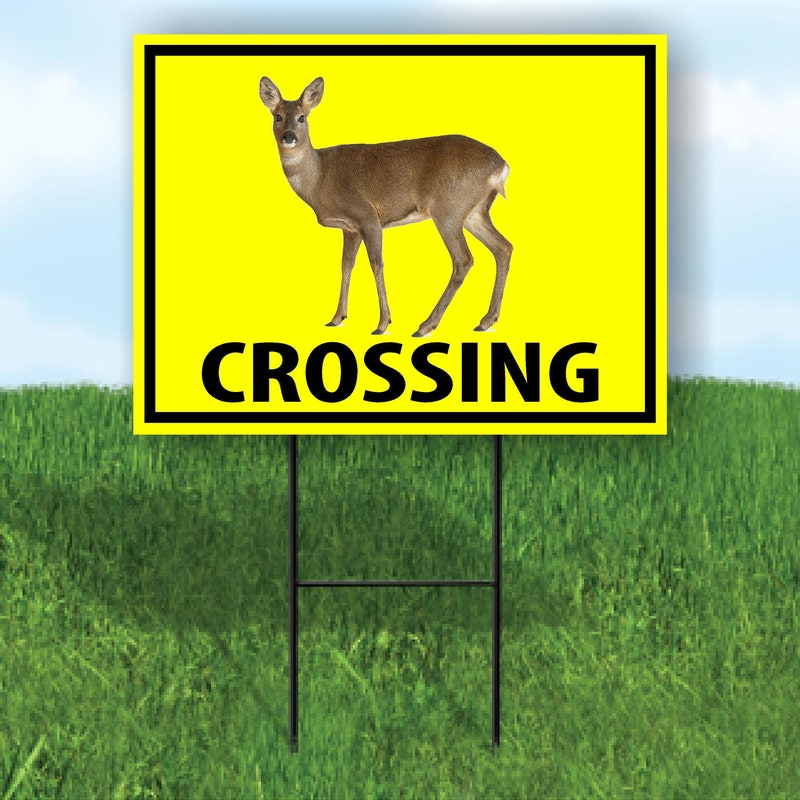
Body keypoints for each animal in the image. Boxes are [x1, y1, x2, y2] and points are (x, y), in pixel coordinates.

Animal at [259, 76, 513, 338]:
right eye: (278, 116)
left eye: (302, 117)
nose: (289, 136)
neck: (320, 178)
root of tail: (501, 165)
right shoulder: (349, 228)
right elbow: (346, 265)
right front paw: (337, 317)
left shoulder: (367, 216)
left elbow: (376, 264)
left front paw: (382, 323)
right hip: (474, 211)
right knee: (503, 247)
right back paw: (486, 320)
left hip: (448, 209)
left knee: (463, 259)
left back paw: (425, 325)